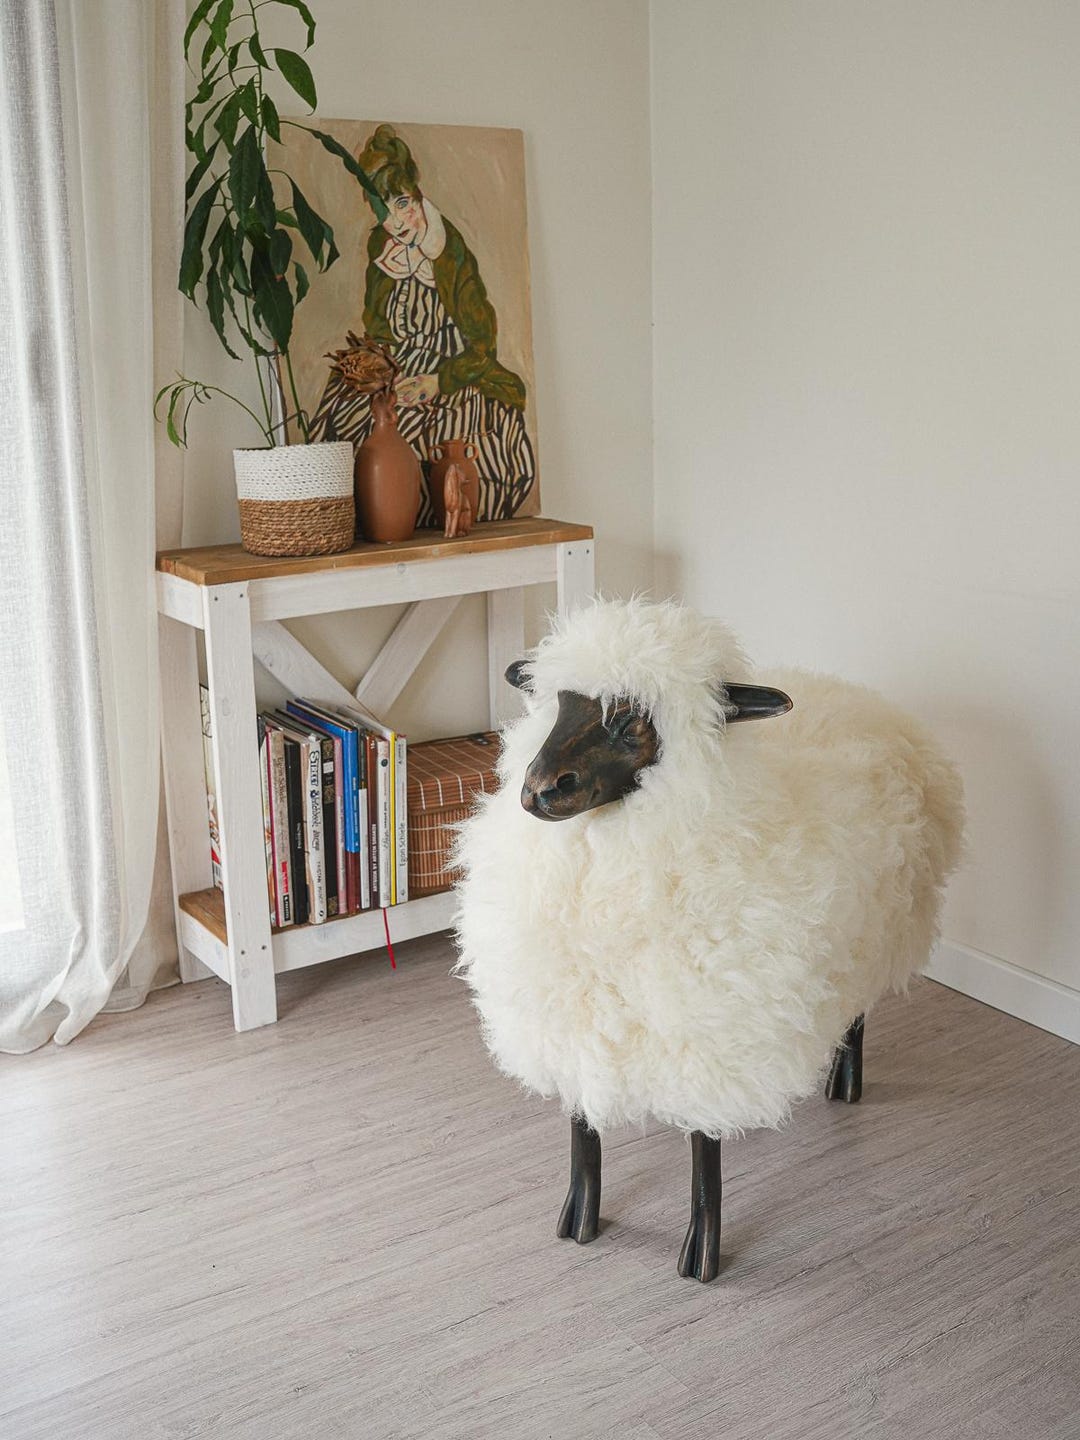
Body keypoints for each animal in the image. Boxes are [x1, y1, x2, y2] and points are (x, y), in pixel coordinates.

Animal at [453, 598, 965, 1282]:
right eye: (560, 703)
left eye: (632, 720)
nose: (539, 789)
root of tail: (865, 699)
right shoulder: (577, 1022)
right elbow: (584, 1134)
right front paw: (579, 1219)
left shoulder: (709, 1031)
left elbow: (703, 1153)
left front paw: (701, 1252)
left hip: (878, 929)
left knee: (859, 1012)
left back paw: (846, 1081)